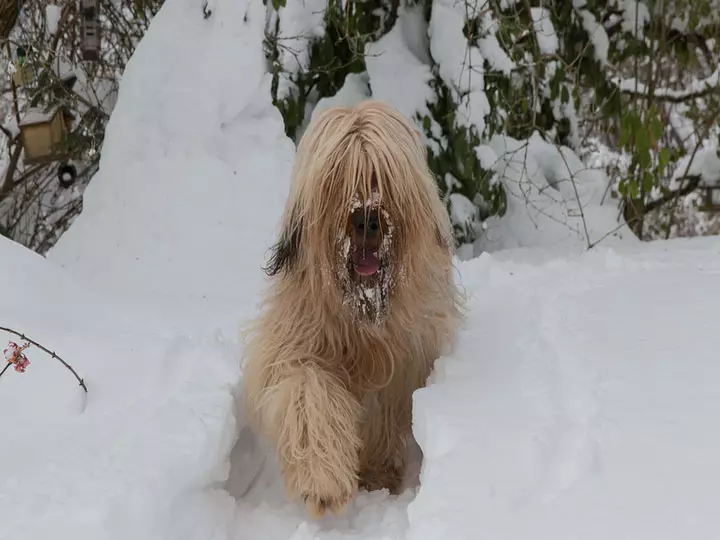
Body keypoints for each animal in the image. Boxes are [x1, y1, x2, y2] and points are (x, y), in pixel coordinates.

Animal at [242, 99, 464, 516]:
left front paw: (377, 473)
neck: (362, 308)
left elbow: (386, 411)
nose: (366, 219)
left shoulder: (404, 357)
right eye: (337, 178)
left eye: (383, 175)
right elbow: (308, 391)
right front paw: (323, 480)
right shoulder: (298, 343)